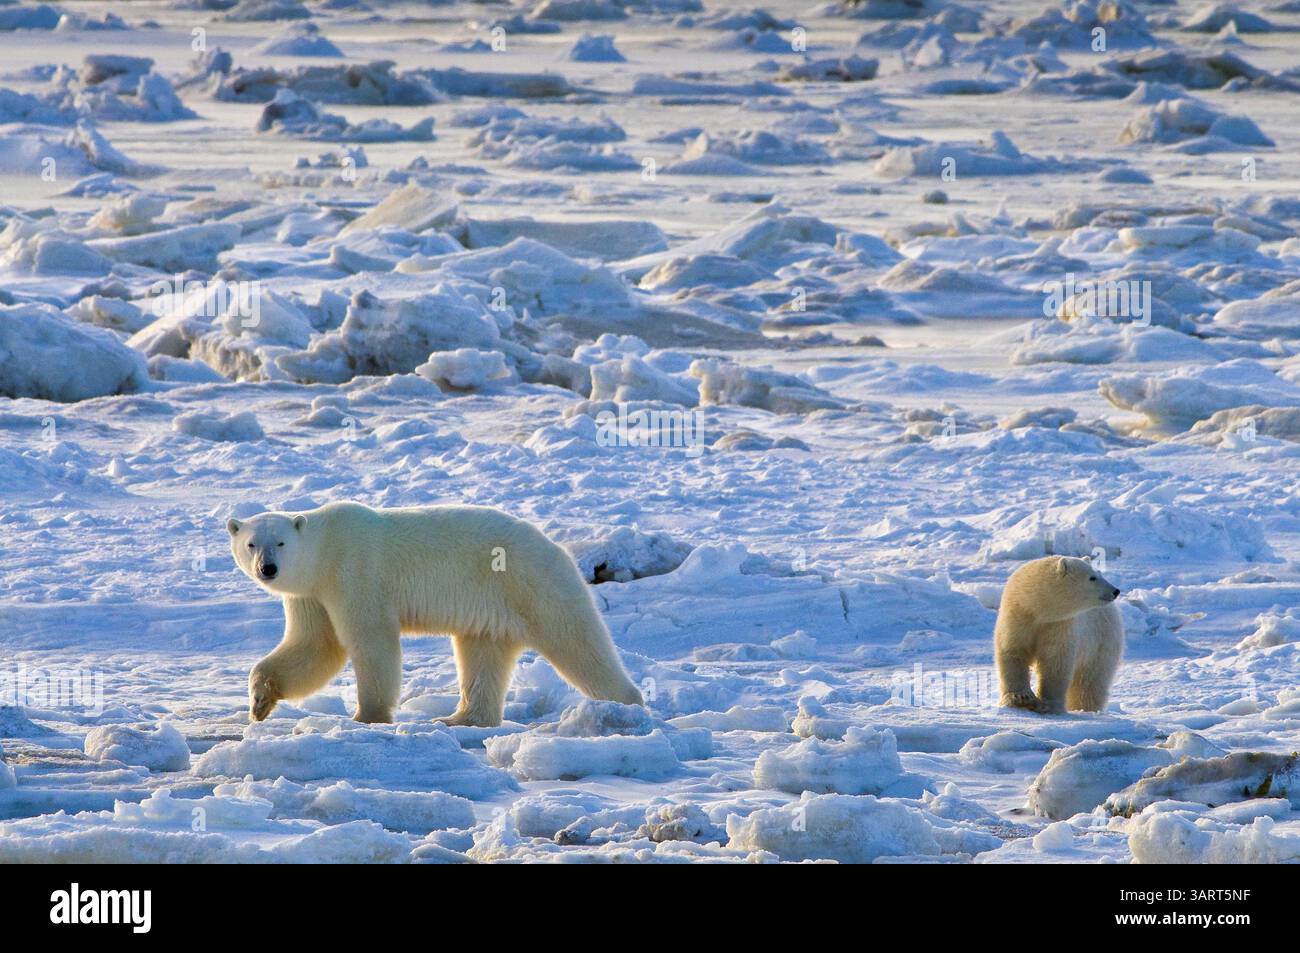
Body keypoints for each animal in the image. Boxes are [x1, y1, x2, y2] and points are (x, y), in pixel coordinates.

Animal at [227, 501, 644, 727]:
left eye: (280, 542)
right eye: (251, 544)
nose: (268, 569)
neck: (325, 548)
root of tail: (556, 547)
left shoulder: (354, 571)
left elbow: (369, 639)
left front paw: (368, 715)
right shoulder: (311, 594)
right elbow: (313, 645)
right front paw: (260, 701)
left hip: (531, 584)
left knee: (578, 643)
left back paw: (626, 705)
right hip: (492, 610)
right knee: (483, 656)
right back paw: (461, 718)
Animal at [994, 556, 1123, 714]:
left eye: (1098, 573)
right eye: (1092, 577)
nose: (1115, 591)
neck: (1037, 611)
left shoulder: (1059, 625)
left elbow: (1055, 661)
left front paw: (1047, 704)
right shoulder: (1017, 617)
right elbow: (1013, 652)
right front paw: (1019, 698)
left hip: (1101, 643)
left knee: (1089, 682)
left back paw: (1084, 708)